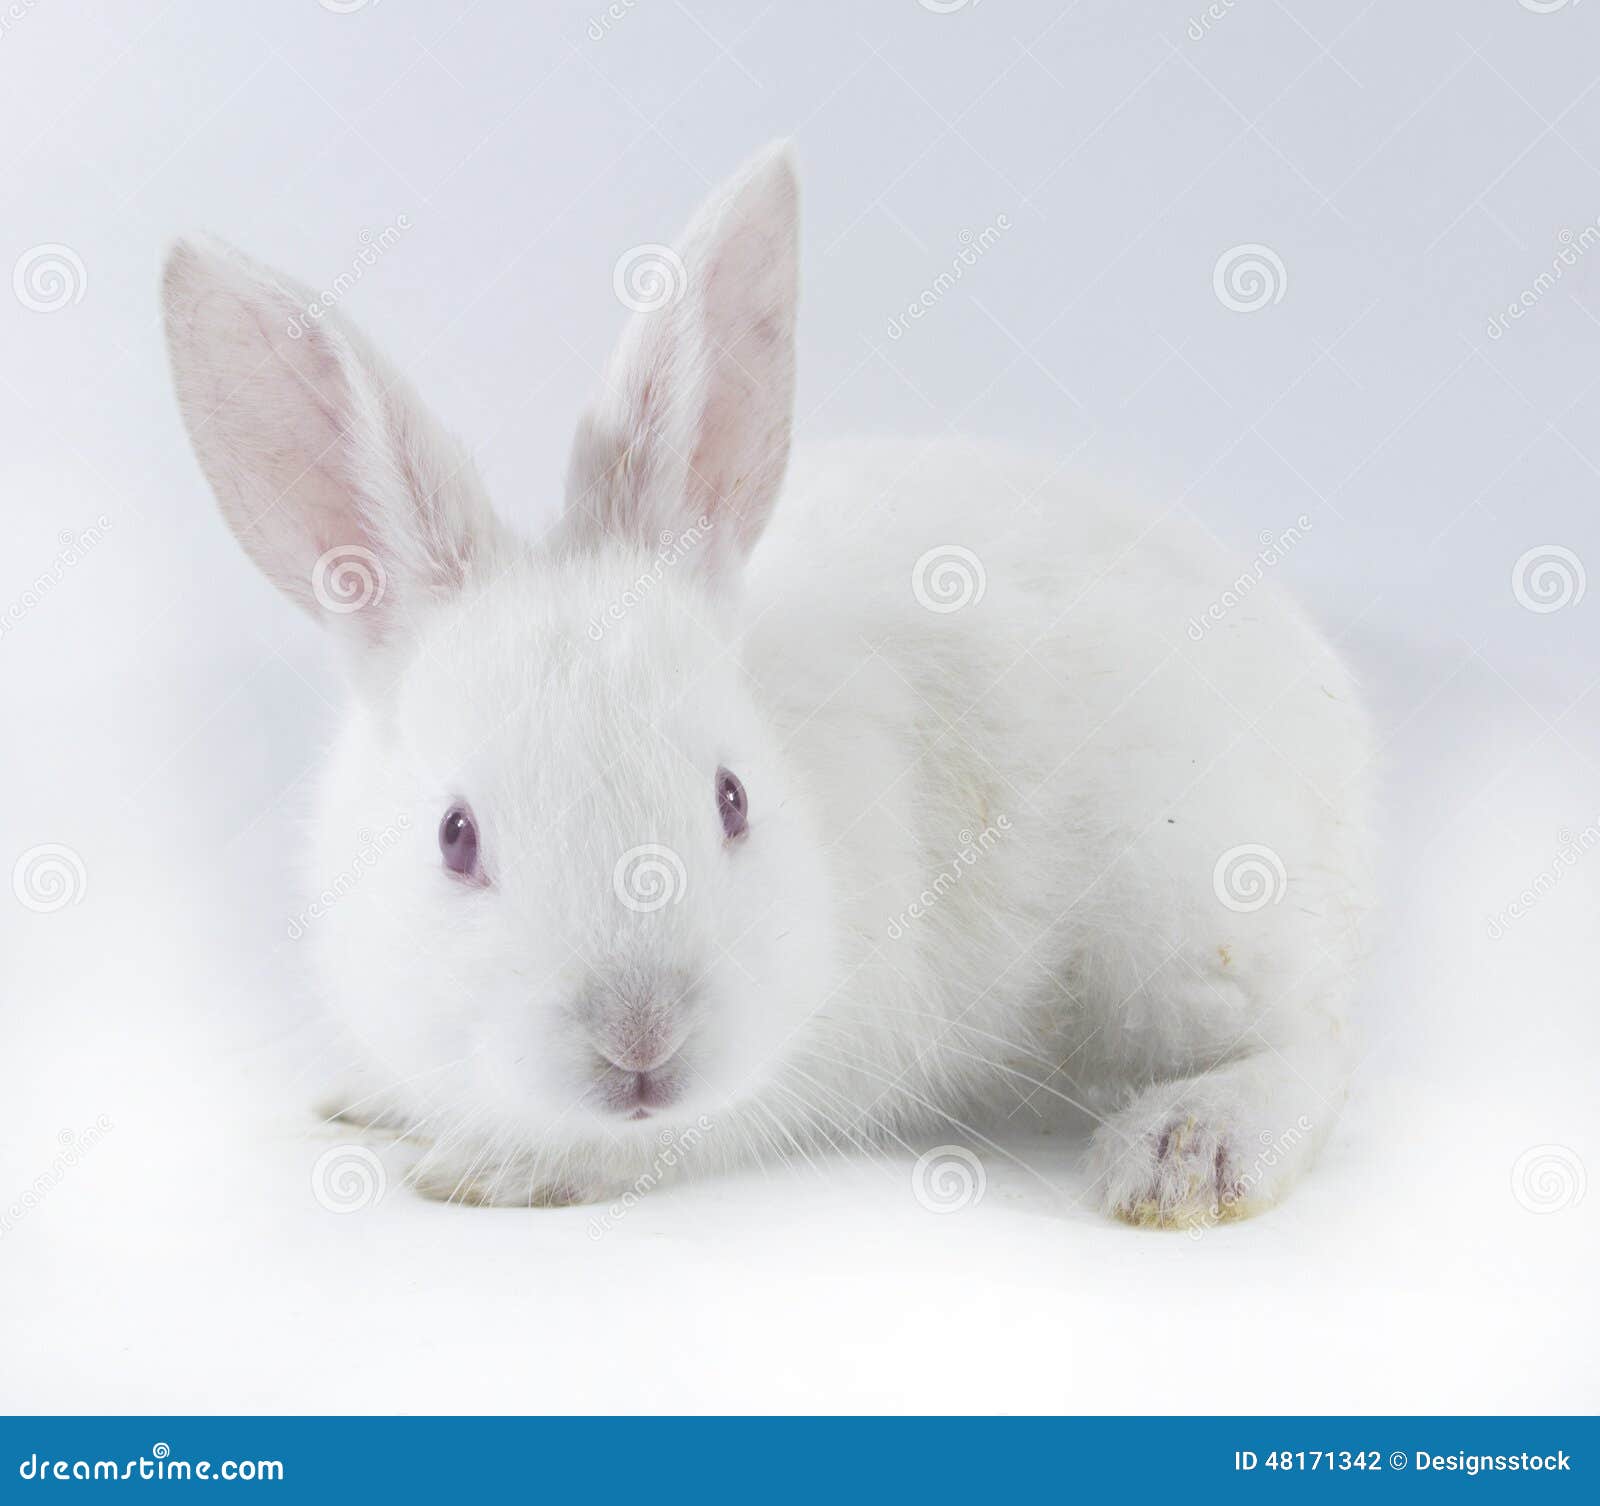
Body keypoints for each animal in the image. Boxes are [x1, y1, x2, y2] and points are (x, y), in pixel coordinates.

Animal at [163, 141, 1373, 1227]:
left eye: (732, 801)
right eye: (454, 838)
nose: (643, 1047)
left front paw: (503, 1170)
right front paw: (372, 1106)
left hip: (1193, 913)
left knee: (1308, 1040)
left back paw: (1186, 1156)